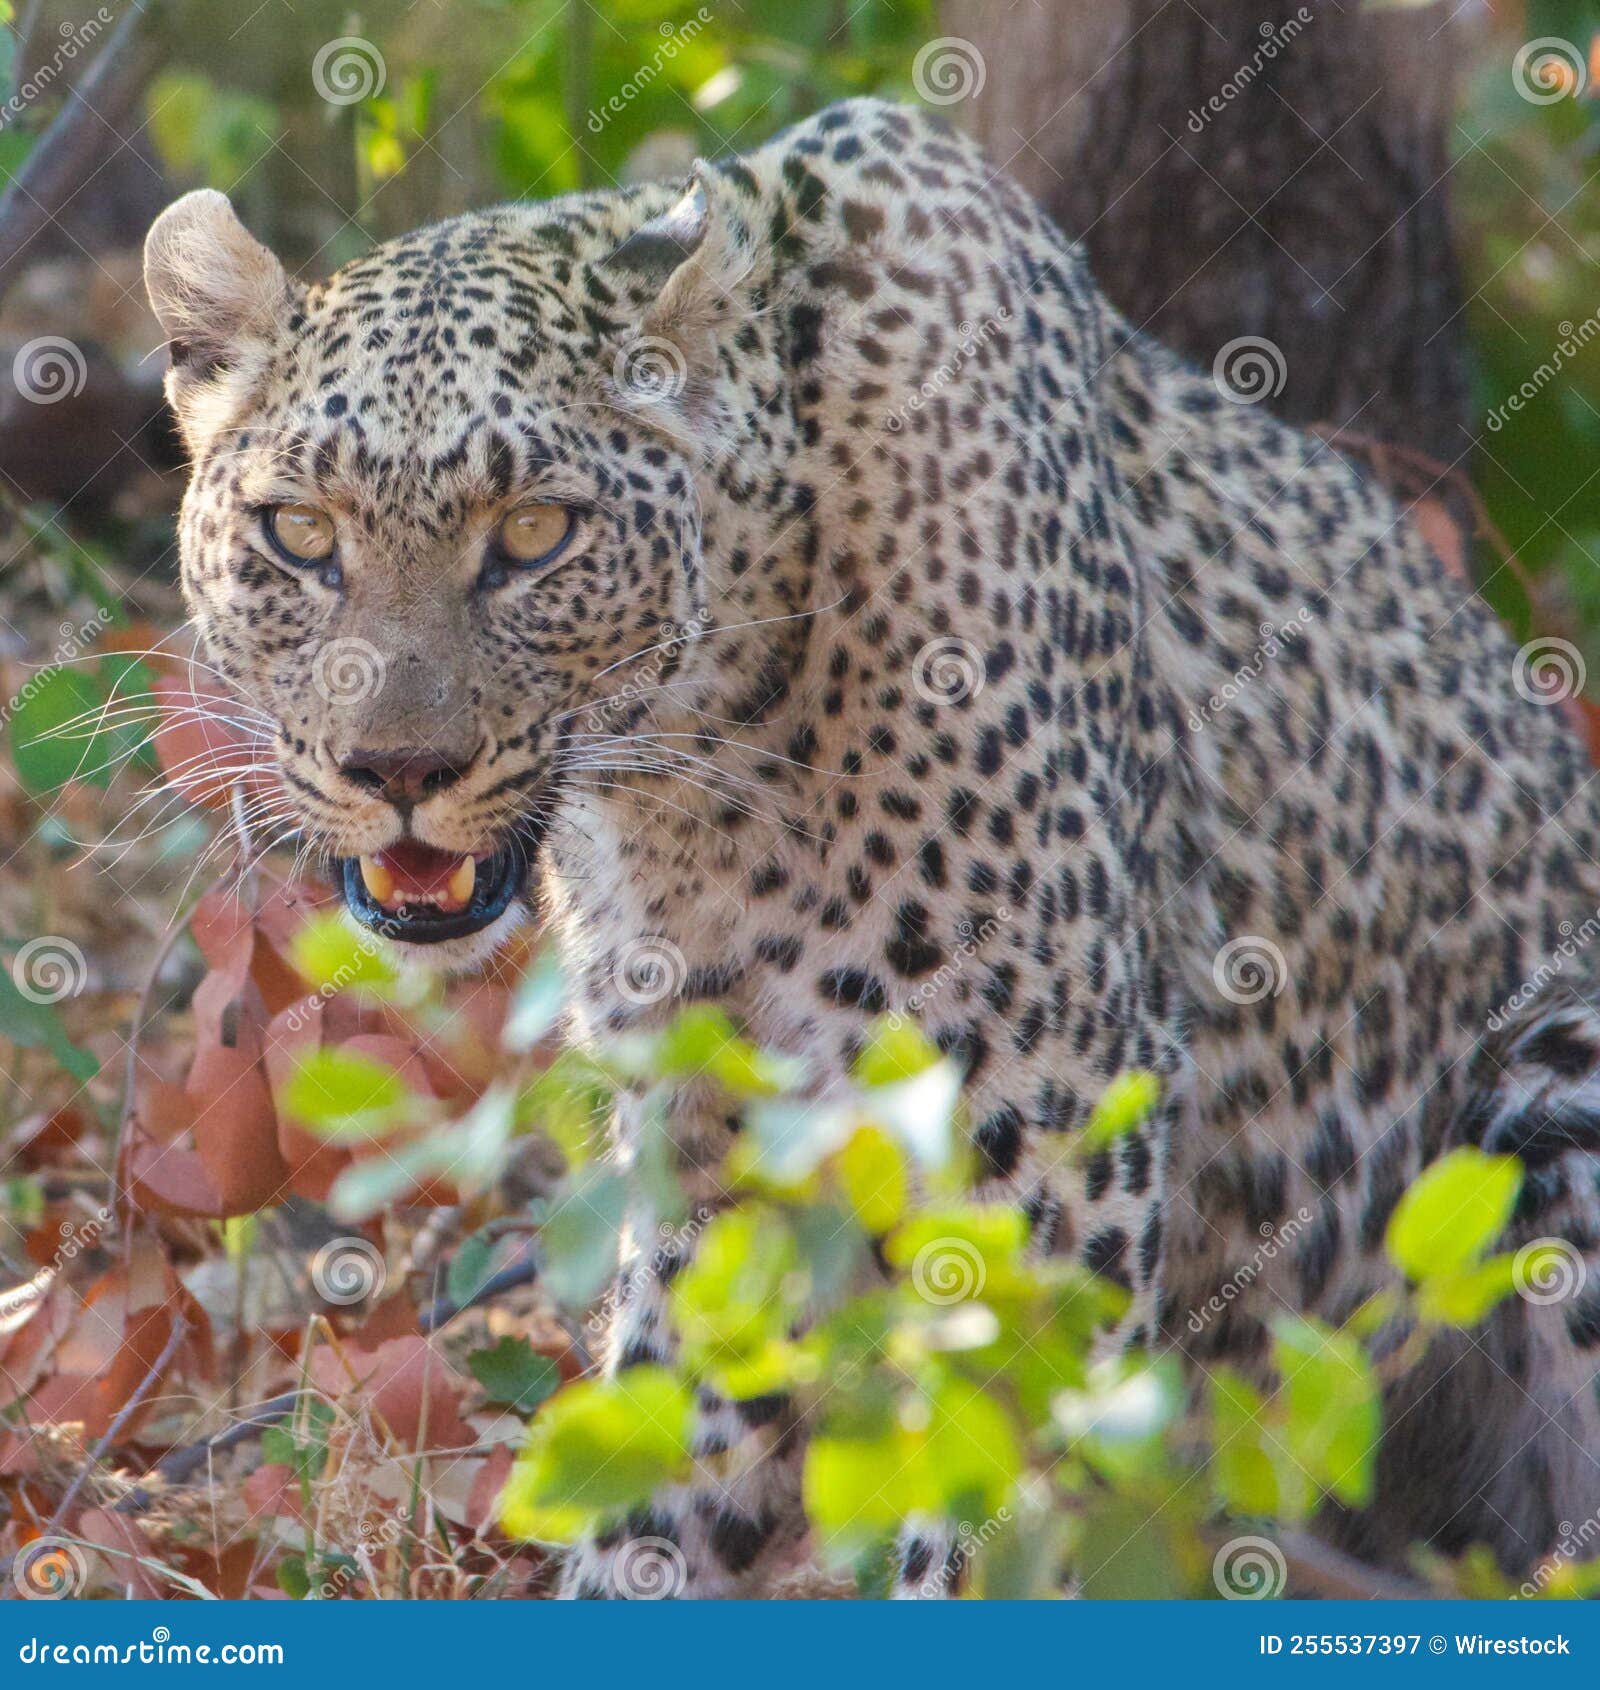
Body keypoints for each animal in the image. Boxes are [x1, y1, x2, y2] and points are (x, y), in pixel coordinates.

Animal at [144, 96, 1600, 1598]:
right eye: (299, 533)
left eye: (537, 532)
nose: (398, 772)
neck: (710, 767)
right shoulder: (715, 1135)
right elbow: (657, 1473)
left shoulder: (1050, 1120)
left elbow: (1004, 1492)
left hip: (1557, 1076)